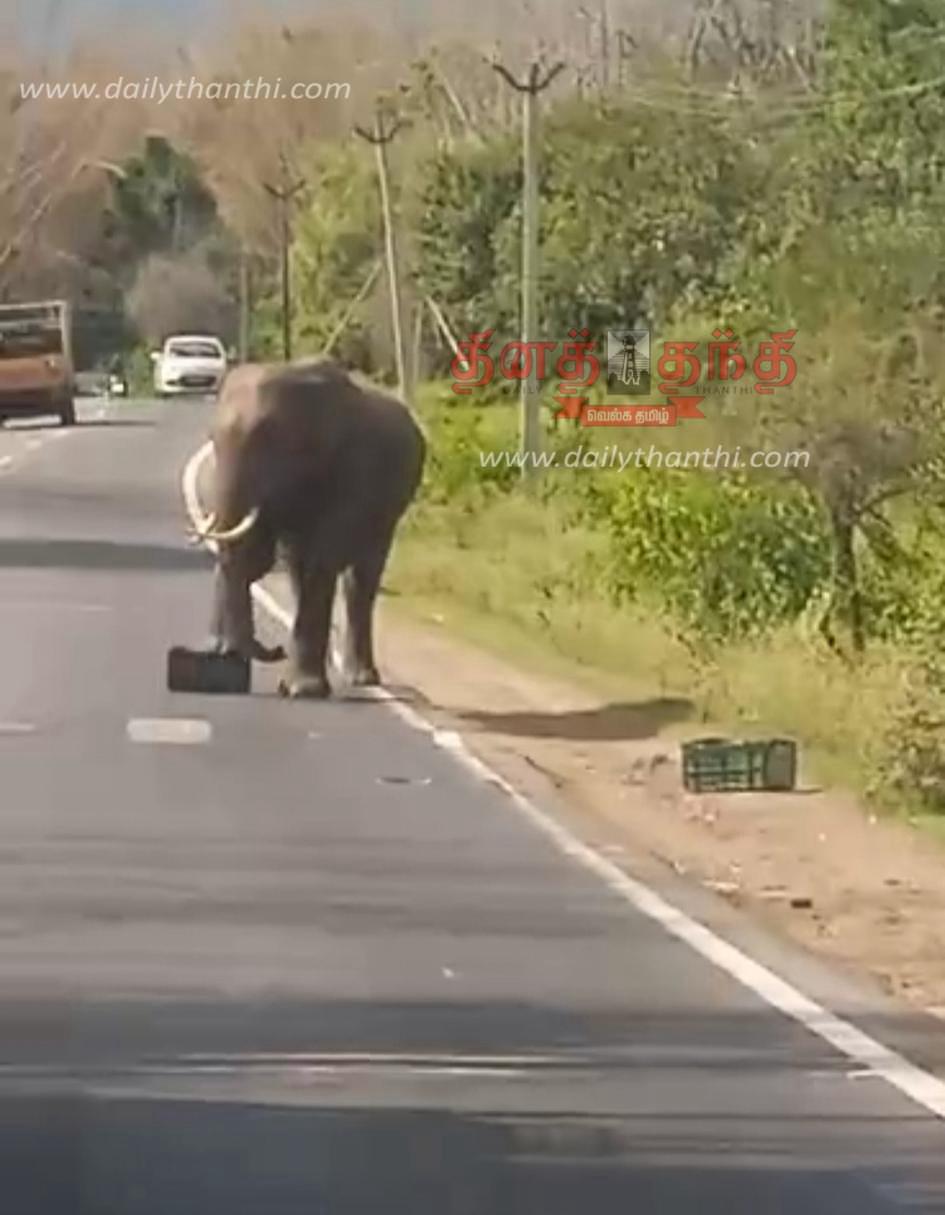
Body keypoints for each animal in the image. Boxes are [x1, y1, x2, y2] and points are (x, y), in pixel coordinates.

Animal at [192, 358, 425, 698]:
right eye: (213, 441)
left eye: (268, 440)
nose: (275, 650)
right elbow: (264, 558)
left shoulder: (354, 471)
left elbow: (319, 561)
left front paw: (303, 690)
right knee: (299, 570)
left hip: (391, 510)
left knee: (361, 579)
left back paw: (359, 678)